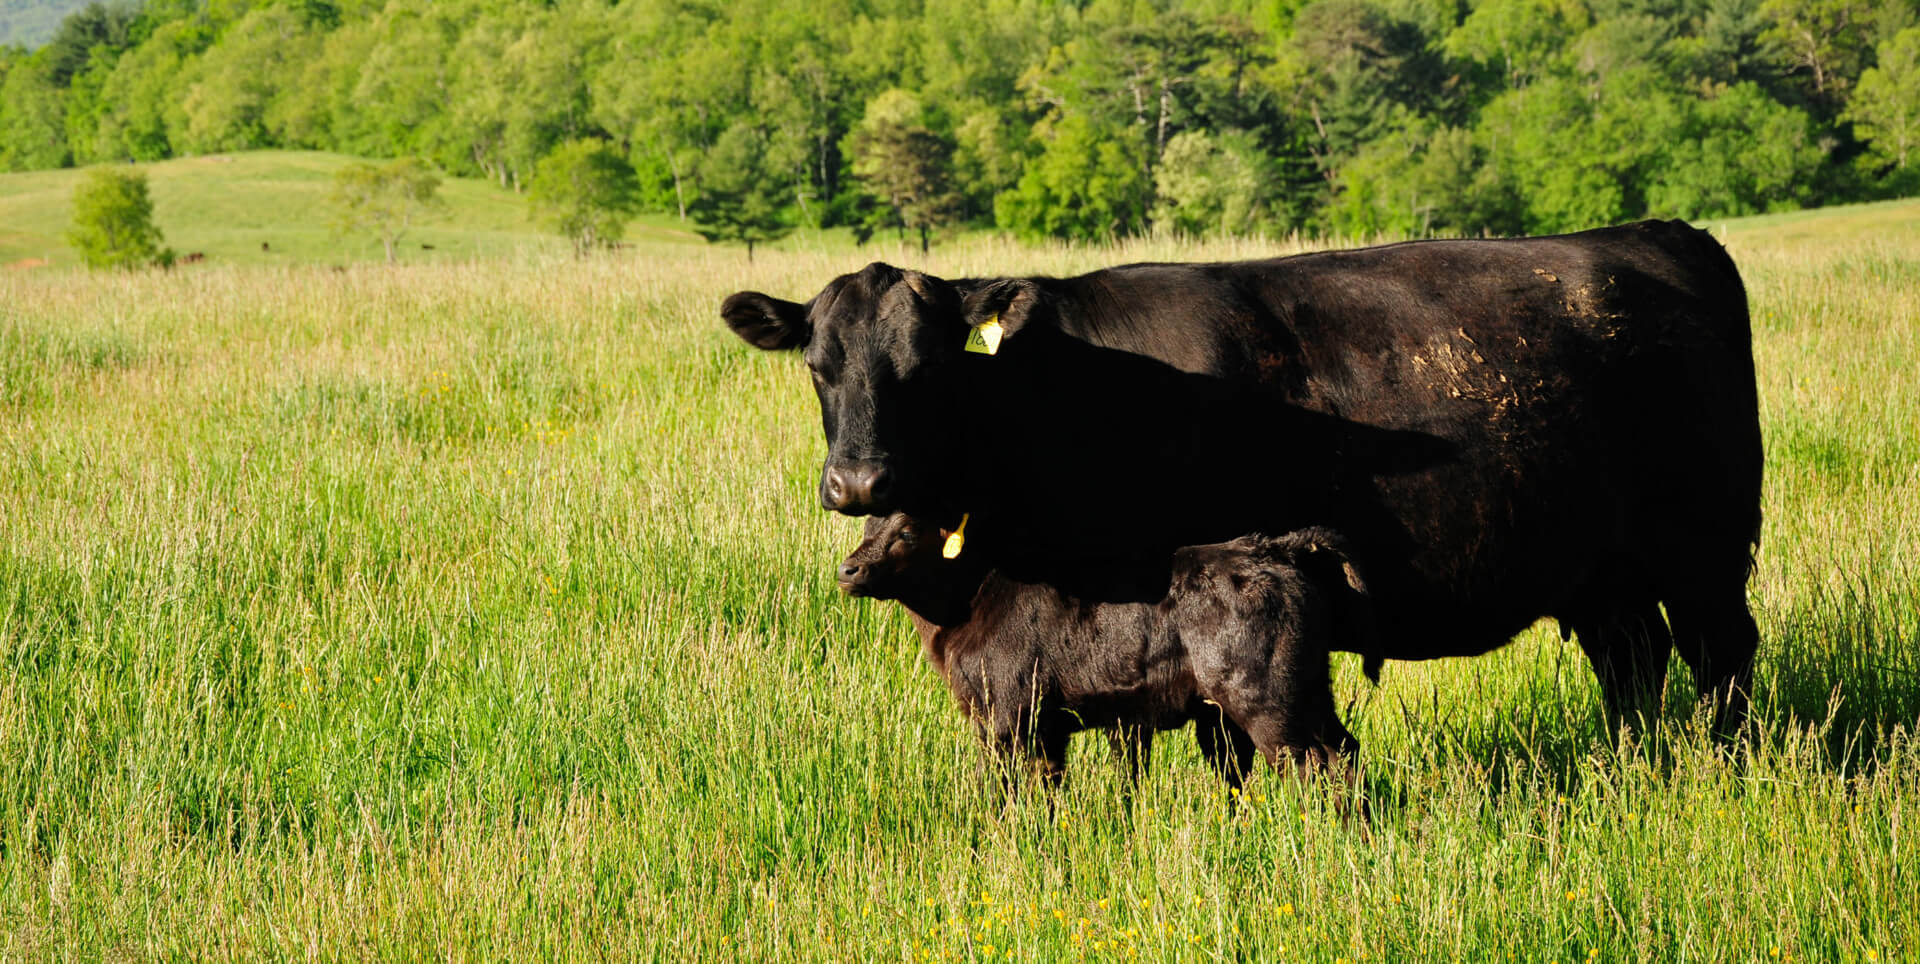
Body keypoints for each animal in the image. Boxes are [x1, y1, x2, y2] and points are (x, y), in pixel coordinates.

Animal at [723, 220, 1763, 740]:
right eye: (817, 364)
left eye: (930, 365)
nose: (858, 482)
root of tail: (1659, 234)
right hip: (1603, 573)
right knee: (1632, 665)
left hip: (1706, 552)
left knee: (1721, 658)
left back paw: (1724, 767)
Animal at [839, 513, 1377, 786]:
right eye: (866, 528)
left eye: (907, 532)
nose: (848, 569)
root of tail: (1273, 548)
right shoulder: (1048, 729)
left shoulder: (1008, 718)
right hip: (1310, 690)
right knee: (1347, 754)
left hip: (1266, 702)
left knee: (1316, 767)